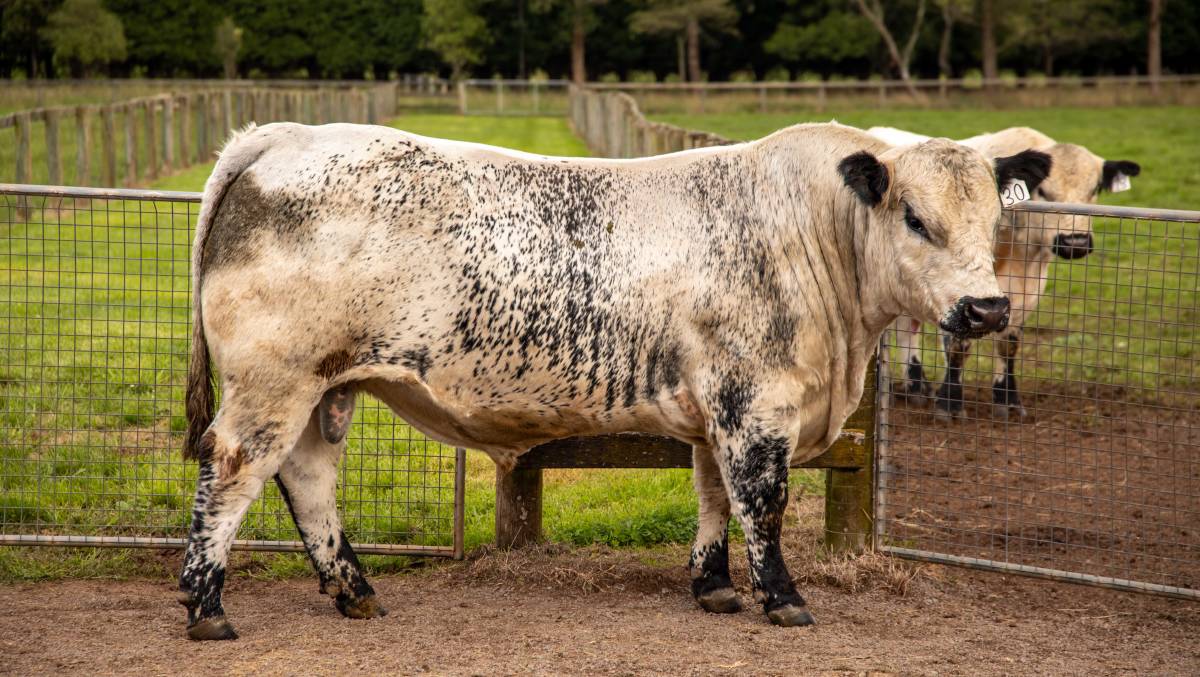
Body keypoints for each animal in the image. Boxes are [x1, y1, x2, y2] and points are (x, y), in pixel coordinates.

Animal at [178, 120, 1050, 640]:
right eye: (915, 217)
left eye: (995, 221)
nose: (986, 306)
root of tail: (286, 133)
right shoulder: (755, 404)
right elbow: (761, 502)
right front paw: (783, 597)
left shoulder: (716, 409)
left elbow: (712, 495)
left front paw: (714, 585)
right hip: (273, 381)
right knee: (233, 470)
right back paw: (207, 605)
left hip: (324, 386)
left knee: (308, 478)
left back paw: (354, 588)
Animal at [868, 126, 1140, 419]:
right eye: (1043, 191)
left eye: (1095, 188)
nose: (1075, 243)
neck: (1021, 253)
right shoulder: (960, 294)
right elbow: (958, 347)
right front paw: (949, 403)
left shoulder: (1021, 296)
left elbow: (1008, 345)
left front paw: (1006, 398)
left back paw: (916, 387)